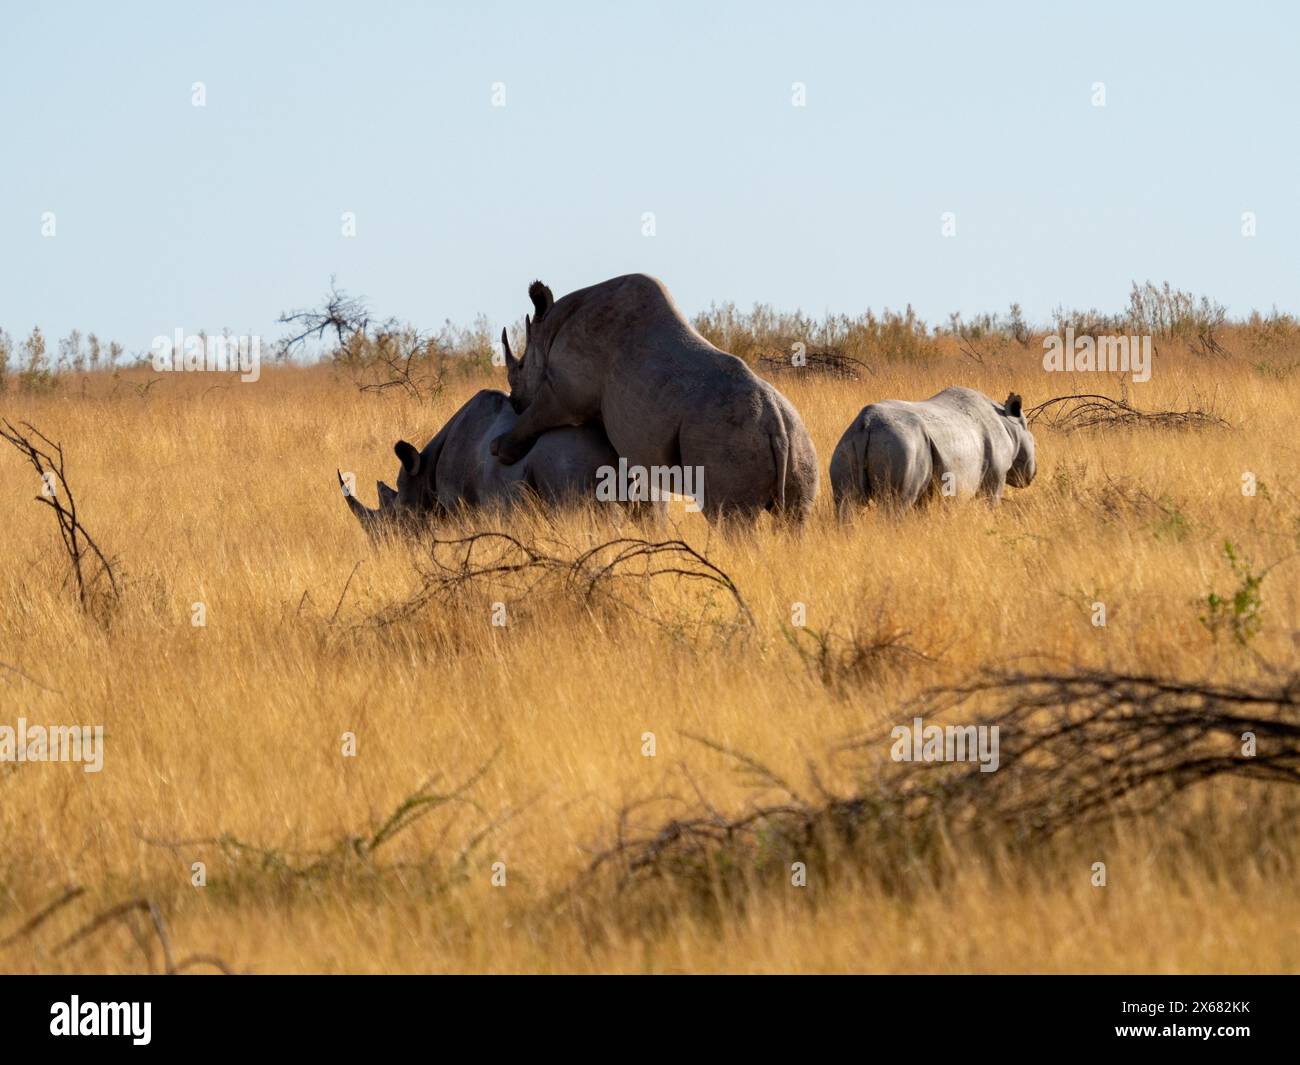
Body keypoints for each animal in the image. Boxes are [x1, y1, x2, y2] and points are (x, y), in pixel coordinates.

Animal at [490, 273, 818, 522]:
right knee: (795, 517)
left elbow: (539, 414)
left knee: (731, 518)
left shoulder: (566, 391)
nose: (515, 400)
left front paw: (499, 450)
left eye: (520, 368)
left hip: (731, 435)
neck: (550, 330)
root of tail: (775, 424)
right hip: (795, 438)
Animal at [829, 387, 1036, 513]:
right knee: (896, 506)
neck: (1008, 424)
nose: (1032, 475)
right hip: (904, 446)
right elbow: (990, 503)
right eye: (1035, 444)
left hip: (845, 446)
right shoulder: (996, 474)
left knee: (847, 505)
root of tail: (866, 424)